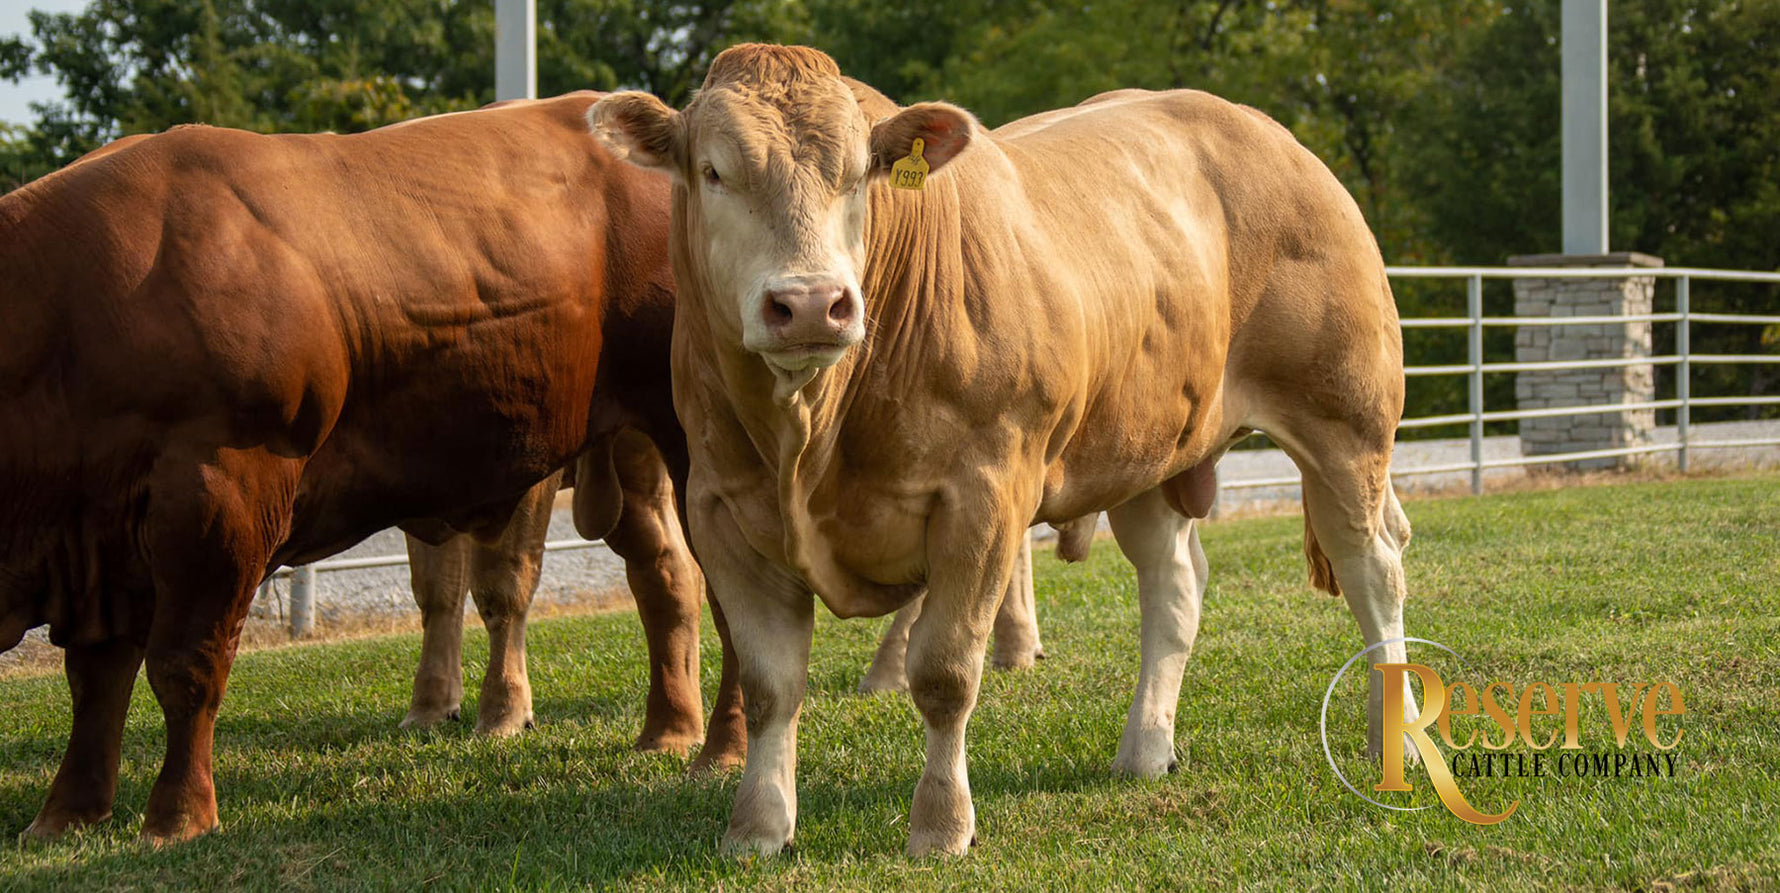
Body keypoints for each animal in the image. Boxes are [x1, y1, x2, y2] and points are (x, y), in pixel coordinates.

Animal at [0, 92, 753, 843]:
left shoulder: (217, 494)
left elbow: (185, 663)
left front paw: (176, 816)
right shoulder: (104, 534)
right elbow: (96, 677)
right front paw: (66, 814)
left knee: (727, 590)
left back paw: (721, 750)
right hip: (630, 453)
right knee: (666, 573)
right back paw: (667, 731)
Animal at [589, 45, 1414, 857]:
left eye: (858, 173)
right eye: (713, 172)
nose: (813, 304)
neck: (811, 432)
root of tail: (1265, 131)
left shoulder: (982, 495)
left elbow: (945, 670)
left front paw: (941, 823)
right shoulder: (720, 506)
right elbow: (769, 683)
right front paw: (756, 828)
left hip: (1345, 421)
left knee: (1374, 570)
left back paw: (1391, 739)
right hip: (1145, 449)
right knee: (1174, 587)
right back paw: (1145, 748)